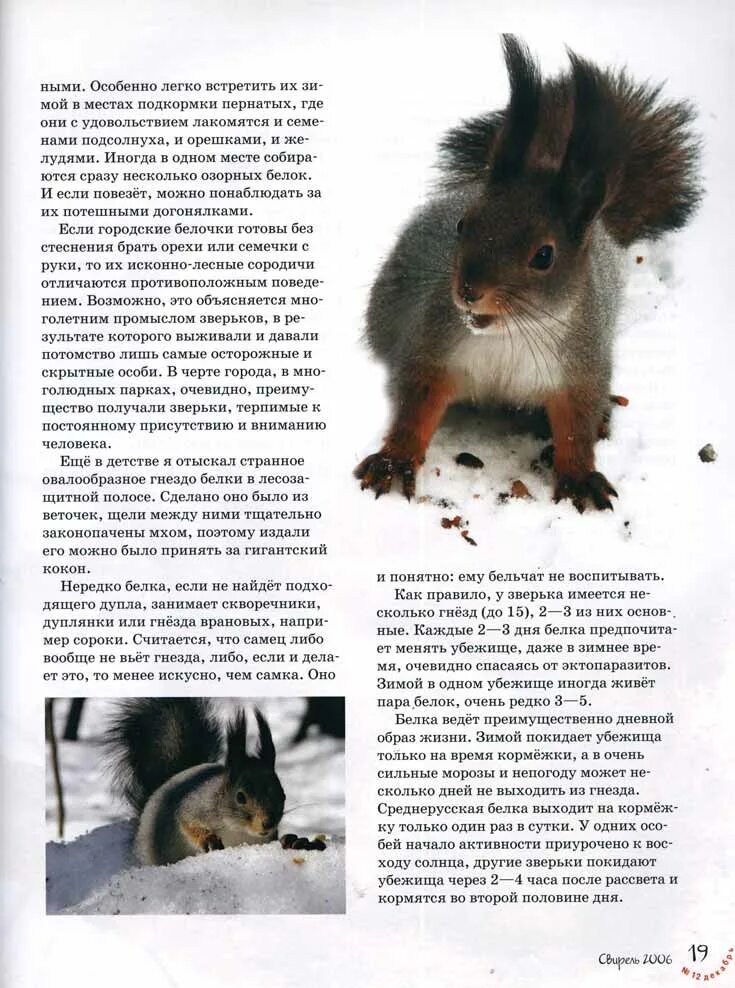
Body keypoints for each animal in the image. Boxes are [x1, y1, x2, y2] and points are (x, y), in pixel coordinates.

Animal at [105, 698, 286, 866]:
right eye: (240, 797)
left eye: (283, 795)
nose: (268, 823)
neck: (238, 829)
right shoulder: (194, 804)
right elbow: (186, 822)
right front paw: (208, 838)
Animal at [355, 35, 701, 511]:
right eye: (463, 225)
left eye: (544, 255)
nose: (469, 291)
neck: (514, 334)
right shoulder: (432, 343)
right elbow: (415, 405)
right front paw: (395, 459)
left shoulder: (581, 366)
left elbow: (576, 426)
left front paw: (580, 476)